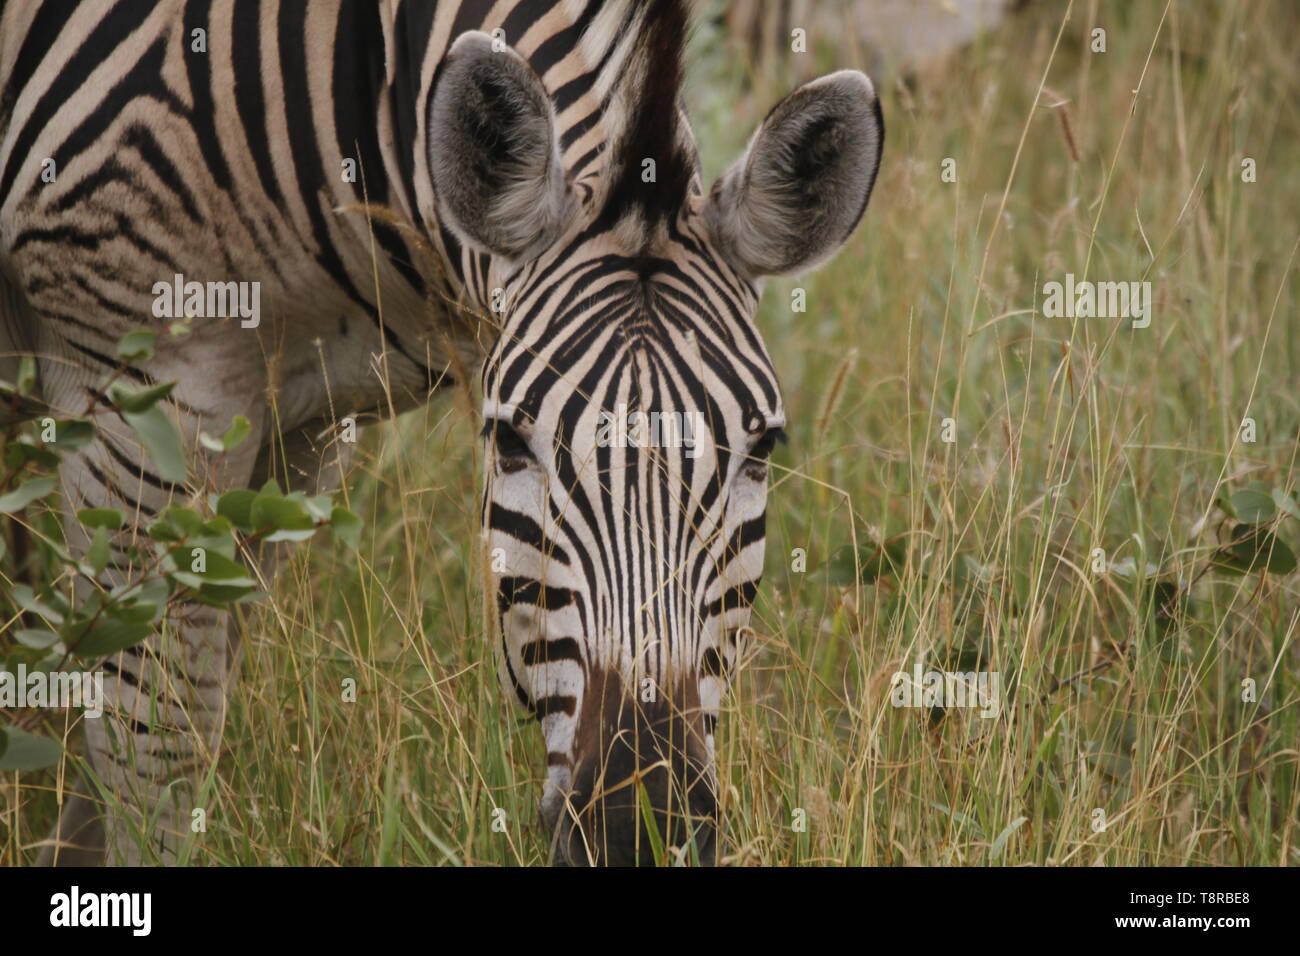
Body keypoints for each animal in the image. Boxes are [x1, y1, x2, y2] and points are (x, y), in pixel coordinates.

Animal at [0, 0, 883, 865]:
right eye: (511, 441)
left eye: (760, 449)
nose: (639, 835)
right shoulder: (140, 389)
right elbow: (156, 750)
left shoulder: (300, 431)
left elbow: (170, 699)